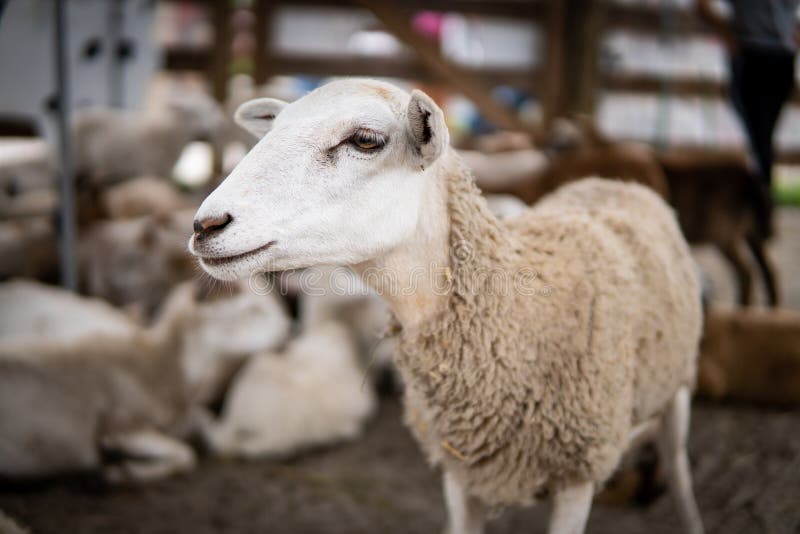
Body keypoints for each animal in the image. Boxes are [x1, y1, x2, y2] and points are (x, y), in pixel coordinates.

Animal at [188, 79, 704, 534]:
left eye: (365, 140)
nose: (205, 225)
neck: (518, 324)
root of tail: (611, 181)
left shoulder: (577, 479)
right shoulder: (460, 473)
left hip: (678, 390)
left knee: (680, 472)